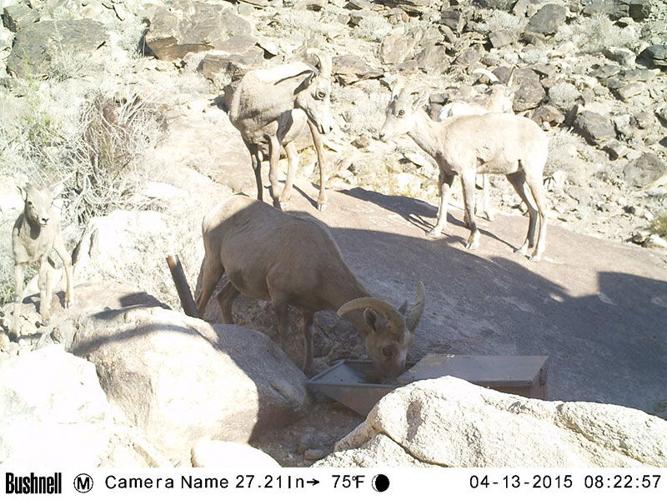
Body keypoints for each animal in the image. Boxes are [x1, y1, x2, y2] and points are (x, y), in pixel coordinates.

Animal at [12, 183, 74, 321]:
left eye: (50, 202)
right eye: (30, 202)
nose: (45, 219)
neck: (31, 246)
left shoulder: (42, 258)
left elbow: (41, 284)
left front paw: (45, 317)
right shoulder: (19, 263)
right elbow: (18, 294)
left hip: (56, 241)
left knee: (66, 260)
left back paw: (68, 302)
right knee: (52, 268)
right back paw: (49, 302)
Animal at [195, 194, 425, 377]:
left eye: (407, 348)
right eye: (387, 349)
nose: (394, 377)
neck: (318, 266)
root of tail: (215, 210)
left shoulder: (308, 309)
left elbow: (308, 335)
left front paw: (308, 370)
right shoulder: (279, 297)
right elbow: (284, 330)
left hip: (239, 282)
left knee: (223, 299)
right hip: (214, 264)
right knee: (203, 299)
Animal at [227, 50, 333, 211]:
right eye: (321, 94)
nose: (329, 127)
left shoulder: (274, 140)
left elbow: (272, 174)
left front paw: (277, 206)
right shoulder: (248, 140)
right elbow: (256, 168)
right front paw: (261, 200)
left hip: (313, 126)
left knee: (321, 158)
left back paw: (321, 203)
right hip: (288, 138)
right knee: (294, 157)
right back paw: (285, 197)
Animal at [380, 86, 549, 261]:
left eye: (401, 112)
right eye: (387, 111)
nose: (381, 135)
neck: (441, 135)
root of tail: (542, 136)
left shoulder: (467, 173)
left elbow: (468, 203)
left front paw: (473, 240)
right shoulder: (447, 174)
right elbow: (444, 198)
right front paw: (435, 231)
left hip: (533, 174)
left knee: (543, 209)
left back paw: (536, 254)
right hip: (516, 178)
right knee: (533, 209)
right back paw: (522, 249)